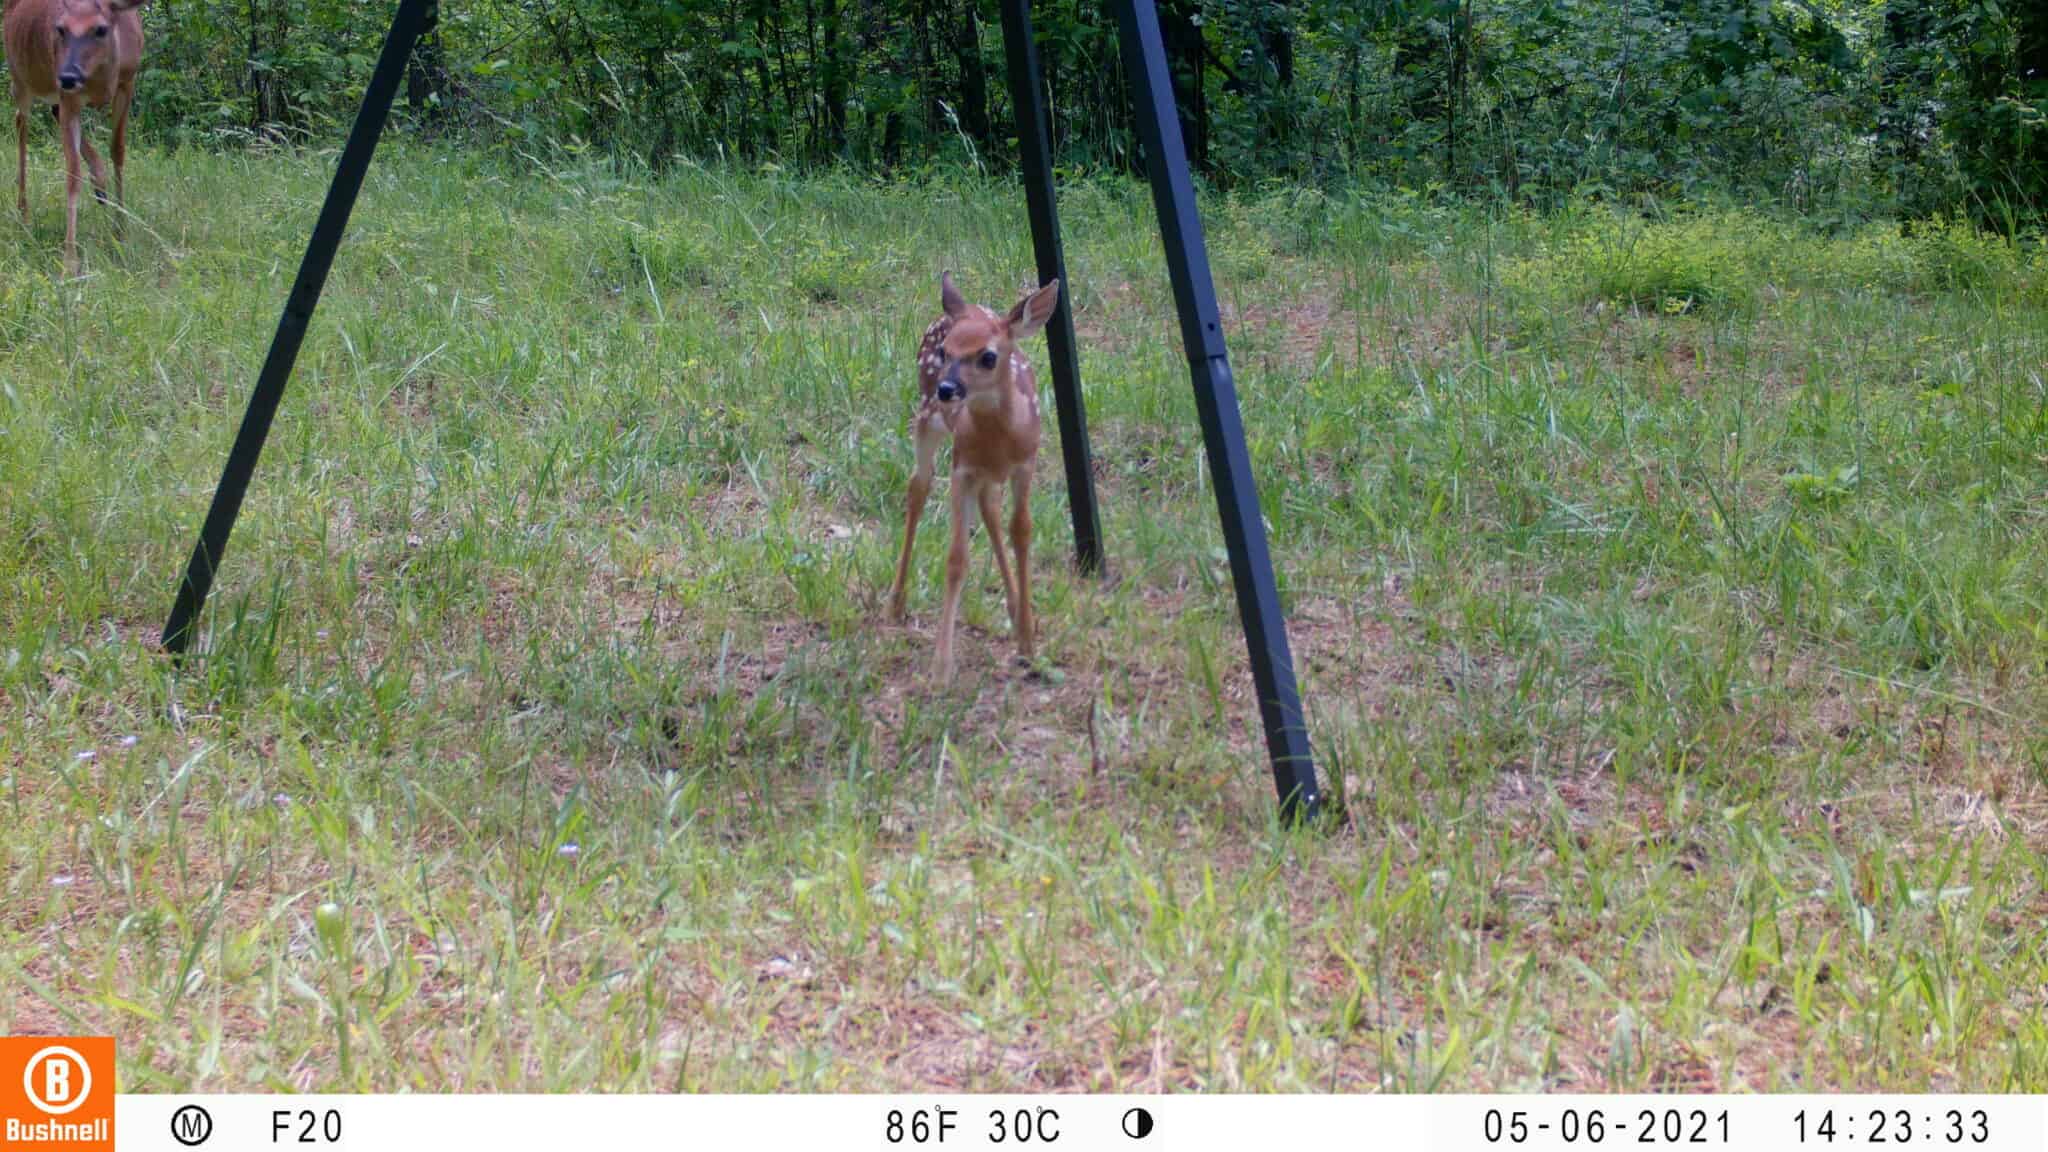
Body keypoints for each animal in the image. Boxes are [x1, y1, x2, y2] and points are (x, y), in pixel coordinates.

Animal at [4, 0, 146, 276]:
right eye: (60, 29)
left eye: (100, 29)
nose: (68, 75)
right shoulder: (69, 96)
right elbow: (72, 173)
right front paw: (70, 263)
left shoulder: (128, 81)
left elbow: (118, 150)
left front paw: (121, 231)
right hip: (20, 74)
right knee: (21, 122)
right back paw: (24, 215)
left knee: (50, 112)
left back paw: (100, 186)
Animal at [888, 271, 1062, 679]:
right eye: (946, 352)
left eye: (988, 356)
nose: (947, 389)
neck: (999, 440)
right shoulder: (961, 467)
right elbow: (956, 559)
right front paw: (941, 668)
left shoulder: (1025, 464)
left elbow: (1022, 532)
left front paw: (1027, 641)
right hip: (926, 421)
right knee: (918, 488)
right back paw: (896, 600)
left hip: (985, 472)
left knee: (989, 508)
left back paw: (1016, 609)